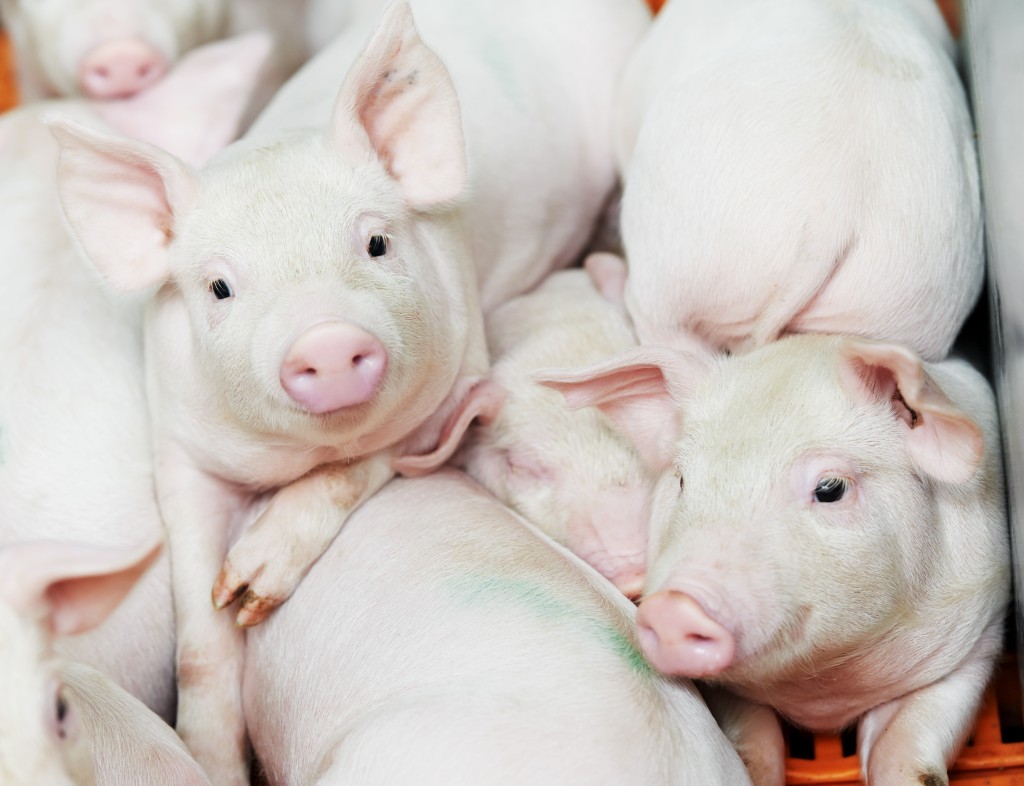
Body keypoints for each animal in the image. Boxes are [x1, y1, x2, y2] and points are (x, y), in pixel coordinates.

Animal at [540, 334, 1010, 786]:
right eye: (682, 479)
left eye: (831, 488)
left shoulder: (978, 635)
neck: (824, 695)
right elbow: (753, 742)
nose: (674, 607)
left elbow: (909, 749)